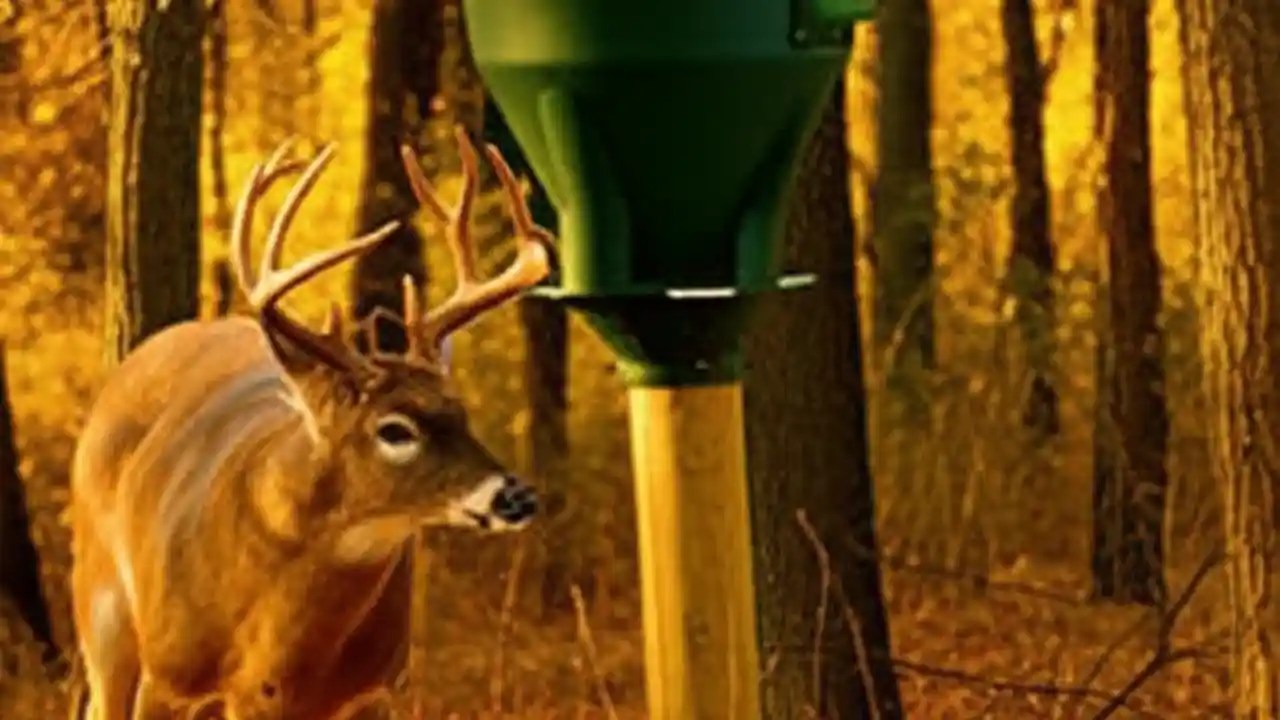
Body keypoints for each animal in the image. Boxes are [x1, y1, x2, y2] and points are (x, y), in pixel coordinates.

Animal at [68, 127, 553, 720]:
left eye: (461, 414)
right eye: (395, 429)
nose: (516, 495)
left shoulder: (373, 690)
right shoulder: (169, 678)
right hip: (103, 610)